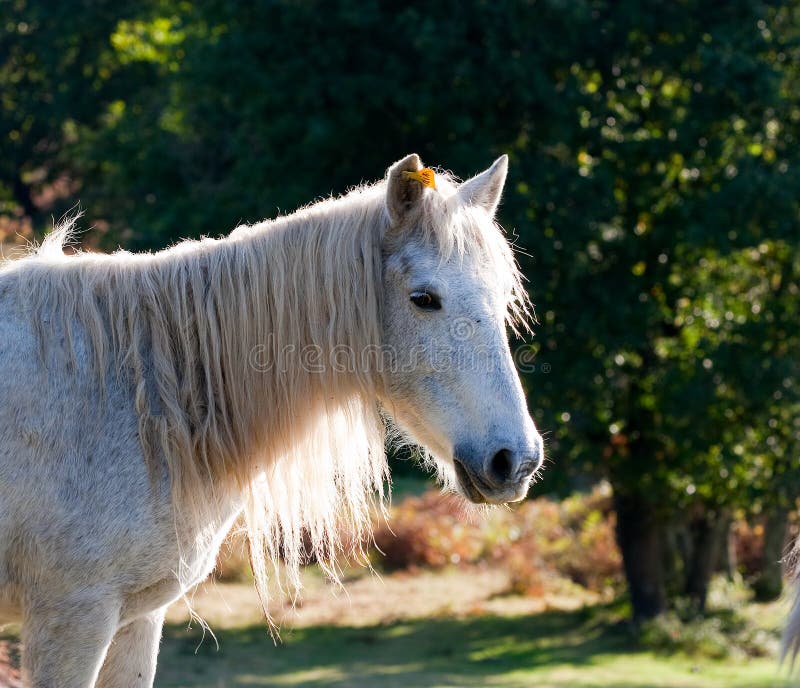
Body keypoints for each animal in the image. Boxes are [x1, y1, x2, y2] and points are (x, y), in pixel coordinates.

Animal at [0, 153, 543, 687]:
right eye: (424, 299)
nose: (515, 461)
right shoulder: (73, 616)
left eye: (502, 297)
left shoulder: (138, 617)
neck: (140, 392)